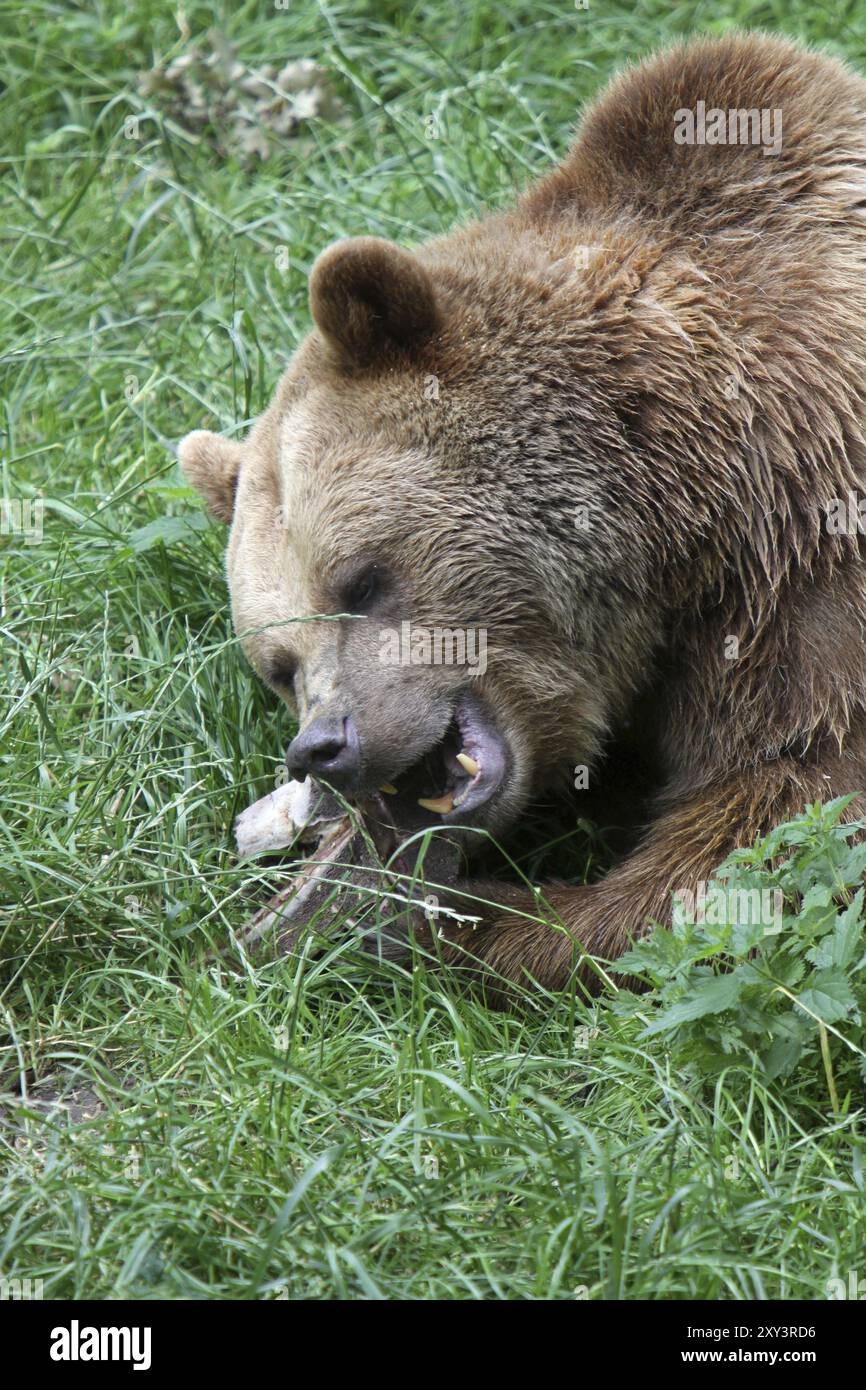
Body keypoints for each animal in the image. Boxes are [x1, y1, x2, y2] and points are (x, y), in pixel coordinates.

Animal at [179, 31, 866, 1000]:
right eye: (278, 664)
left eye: (362, 579)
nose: (325, 747)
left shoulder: (803, 560)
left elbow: (774, 819)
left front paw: (434, 916)